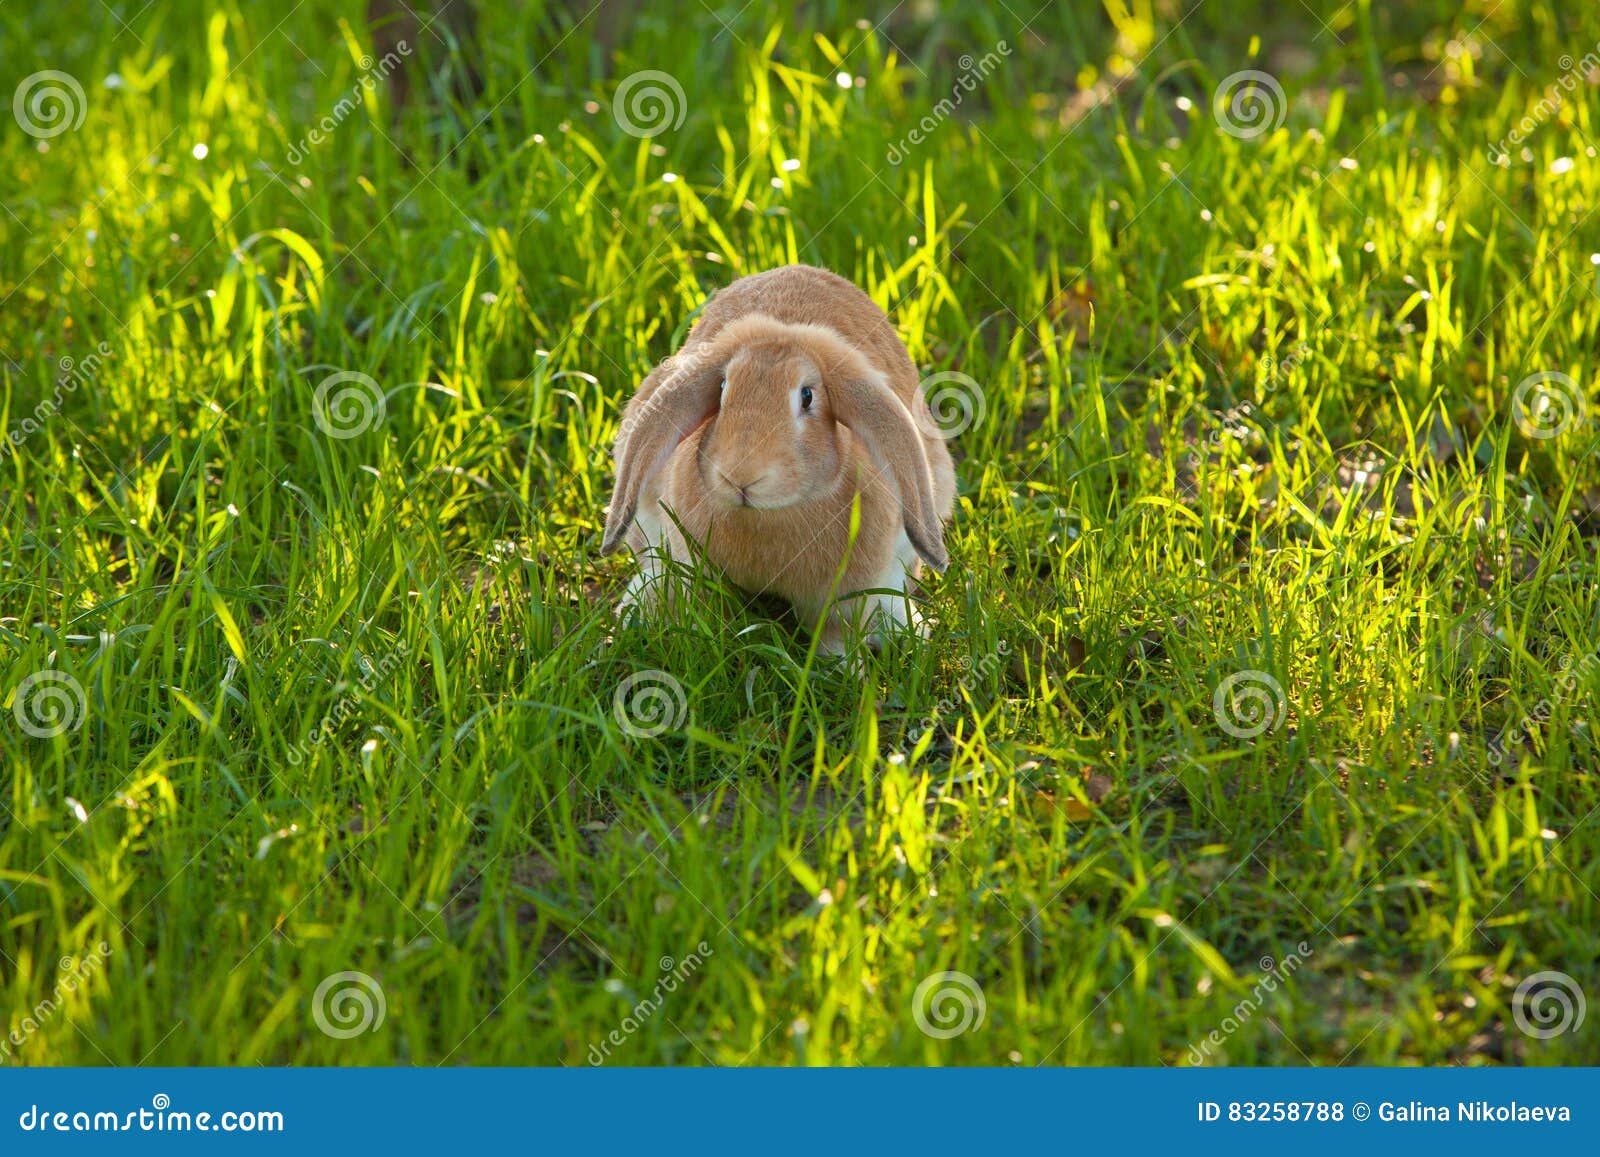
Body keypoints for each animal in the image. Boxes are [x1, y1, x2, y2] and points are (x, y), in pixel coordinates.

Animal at [600, 264, 957, 655]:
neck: (766, 517)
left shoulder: (844, 599)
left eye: (807, 396)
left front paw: (842, 665)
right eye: (722, 389)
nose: (740, 477)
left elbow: (834, 636)